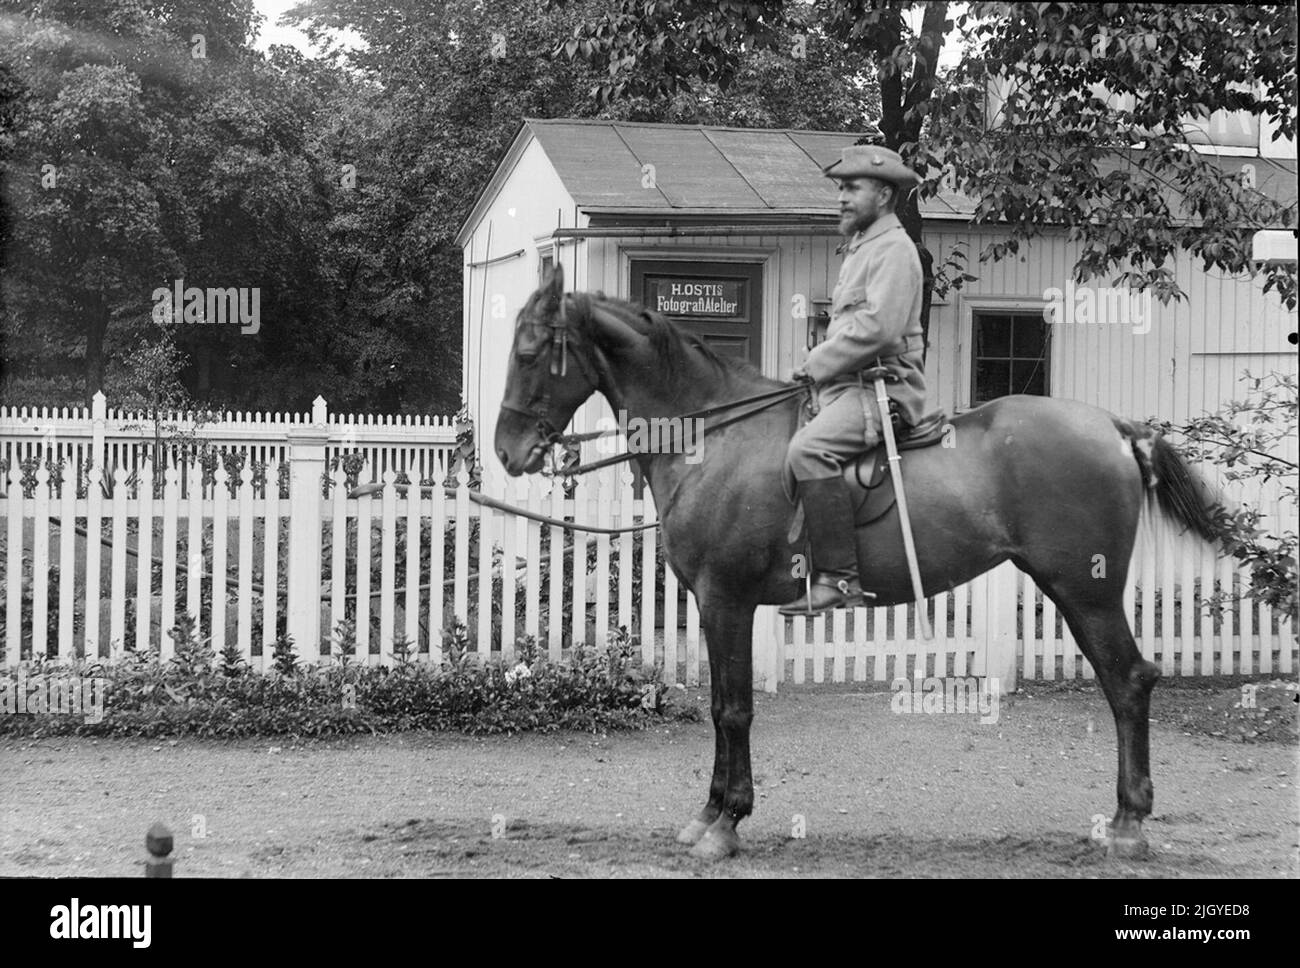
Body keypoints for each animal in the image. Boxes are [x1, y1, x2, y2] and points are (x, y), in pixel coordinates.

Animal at [494, 265, 1220, 862]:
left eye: (529, 352)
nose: (506, 451)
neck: (714, 435)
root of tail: (1116, 430)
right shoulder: (714, 603)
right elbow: (725, 705)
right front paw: (713, 814)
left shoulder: (726, 600)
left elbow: (733, 710)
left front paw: (725, 822)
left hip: (1085, 591)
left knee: (1128, 682)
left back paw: (1128, 824)